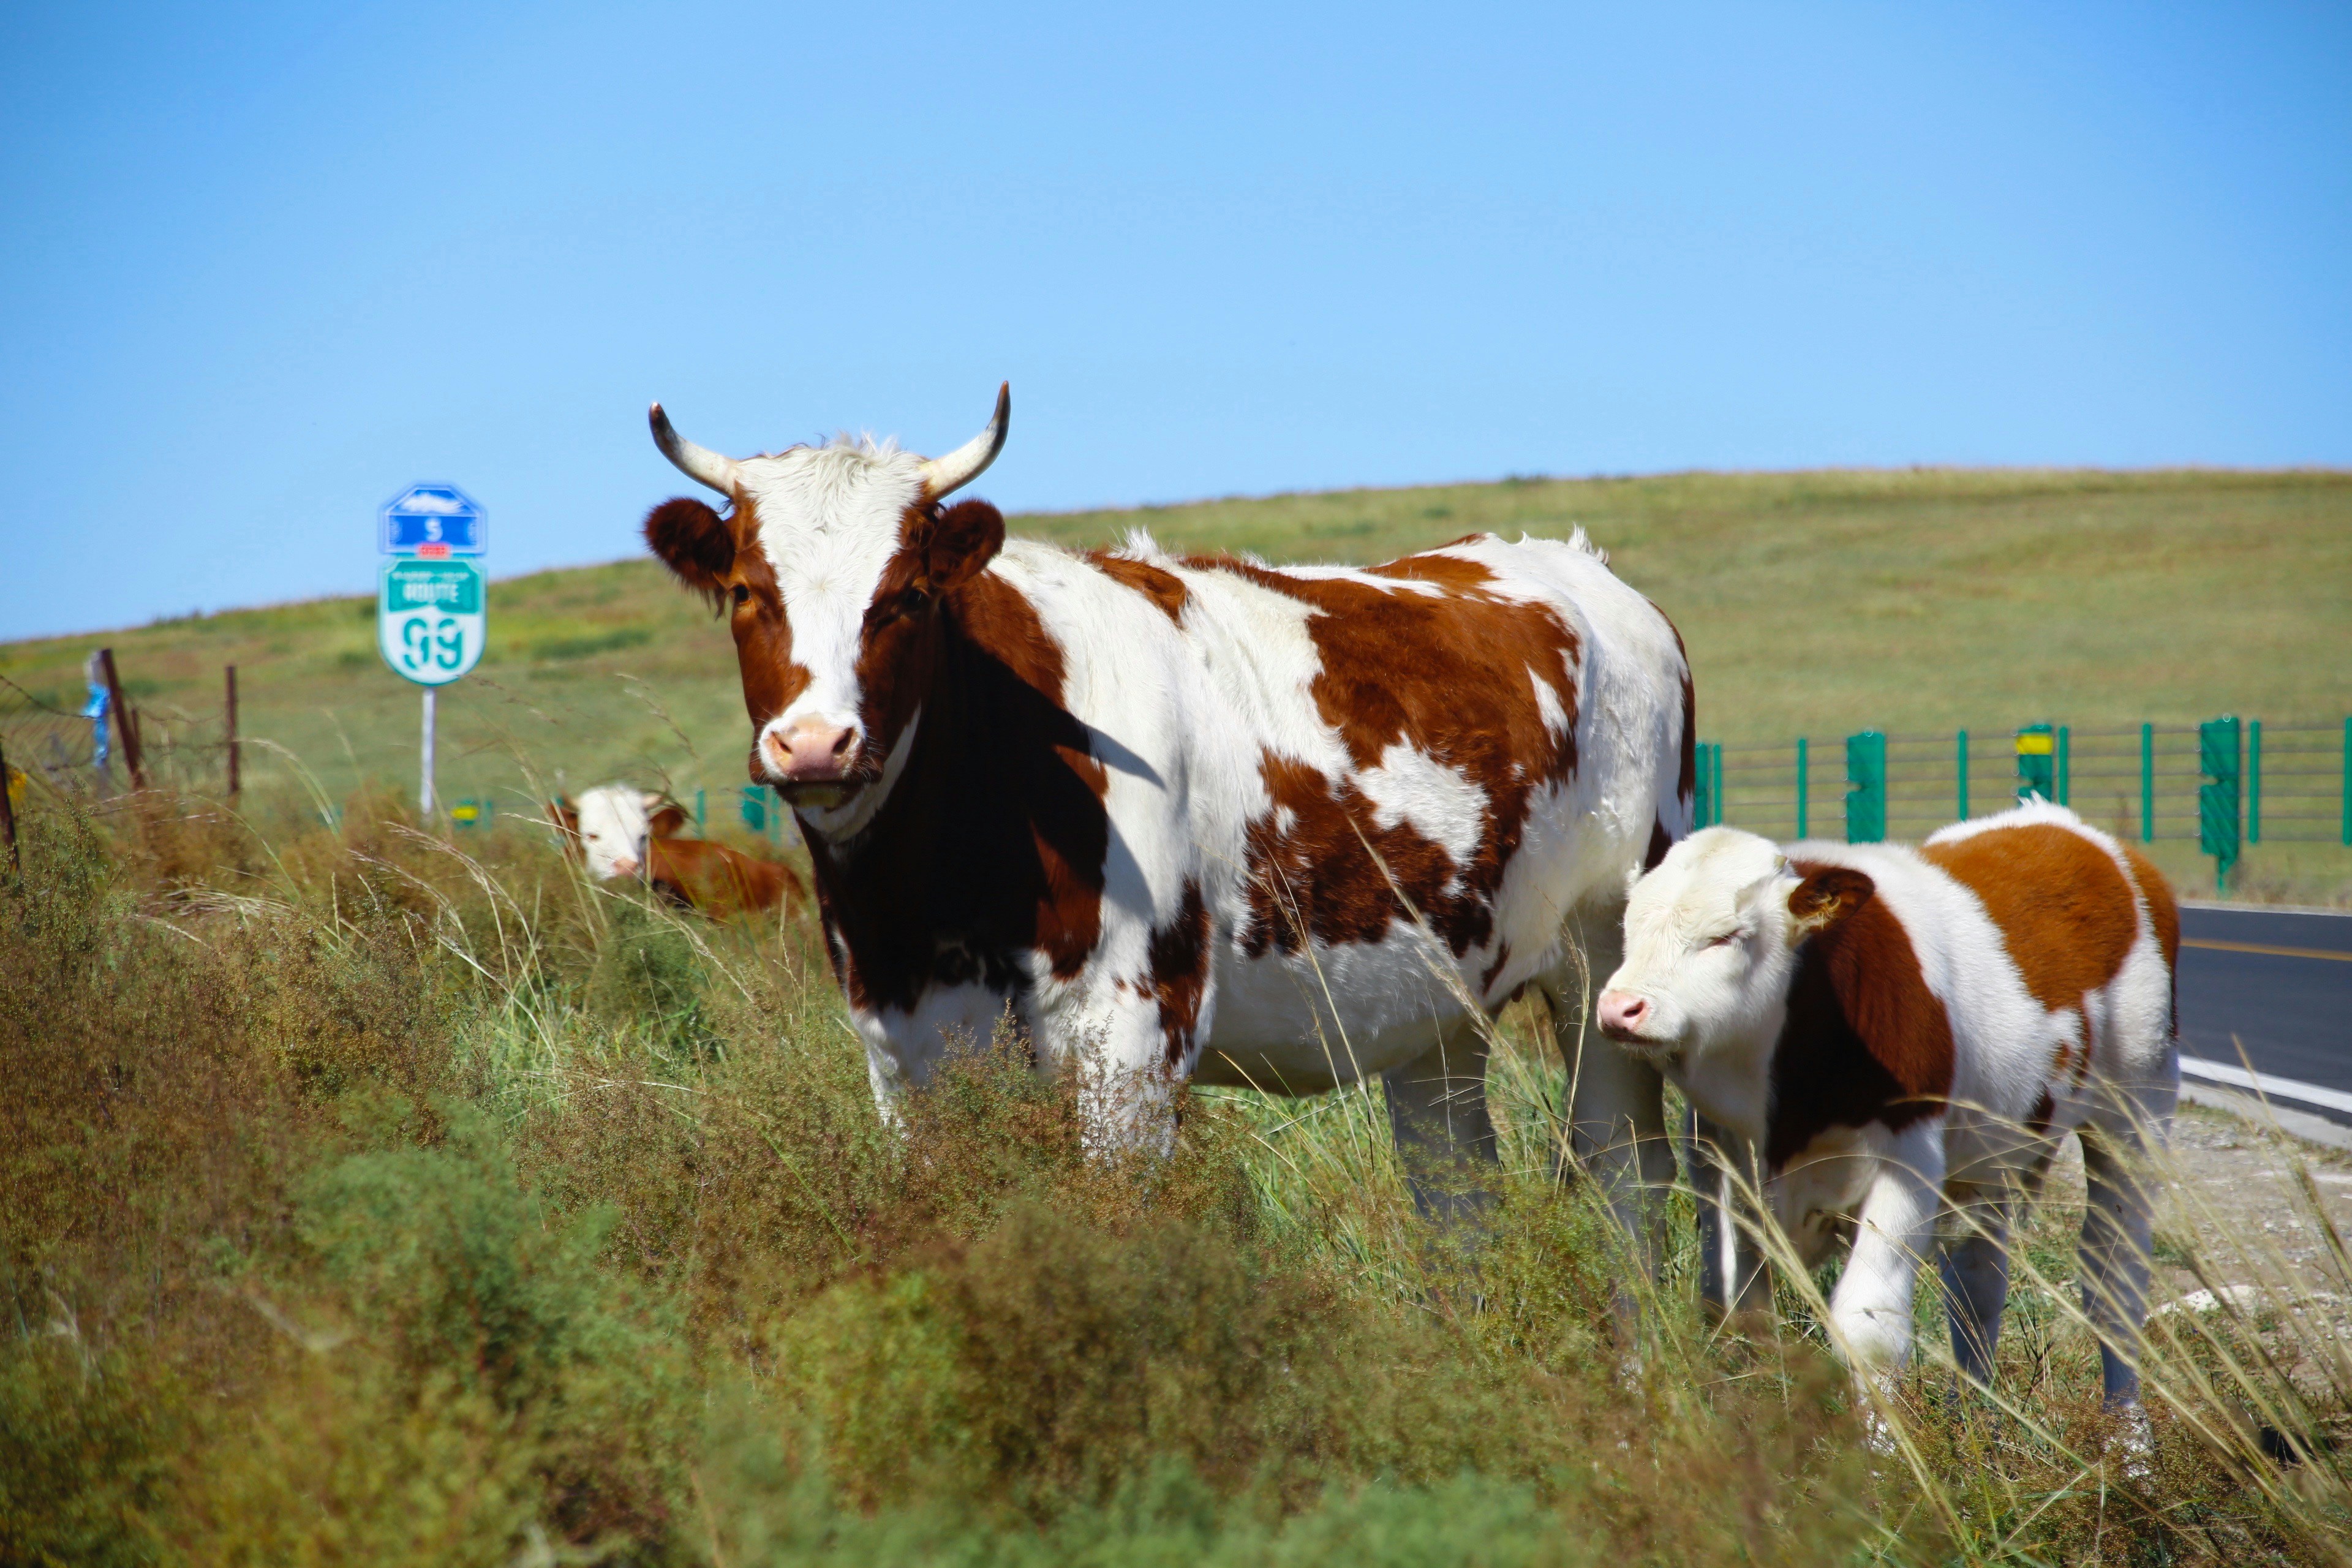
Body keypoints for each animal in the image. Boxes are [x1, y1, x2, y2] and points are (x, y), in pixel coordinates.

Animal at [638, 385, 1694, 1235]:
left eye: (904, 595)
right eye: (747, 591)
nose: (816, 744)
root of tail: (1582, 571)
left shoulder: (1135, 1042)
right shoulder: (903, 1052)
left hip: (1604, 968)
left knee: (1626, 1186)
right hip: (1436, 1006)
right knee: (1459, 1199)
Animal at [1593, 802, 2180, 1408]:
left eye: (1728, 936)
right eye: (1628, 929)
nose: (1620, 1009)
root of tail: (2074, 831)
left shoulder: (1906, 1159)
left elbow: (1869, 1330)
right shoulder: (1723, 1151)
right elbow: (1737, 1306)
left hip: (2138, 1104)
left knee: (2115, 1277)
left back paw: (2126, 1429)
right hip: (1989, 1153)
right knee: (1977, 1283)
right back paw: (1976, 1417)